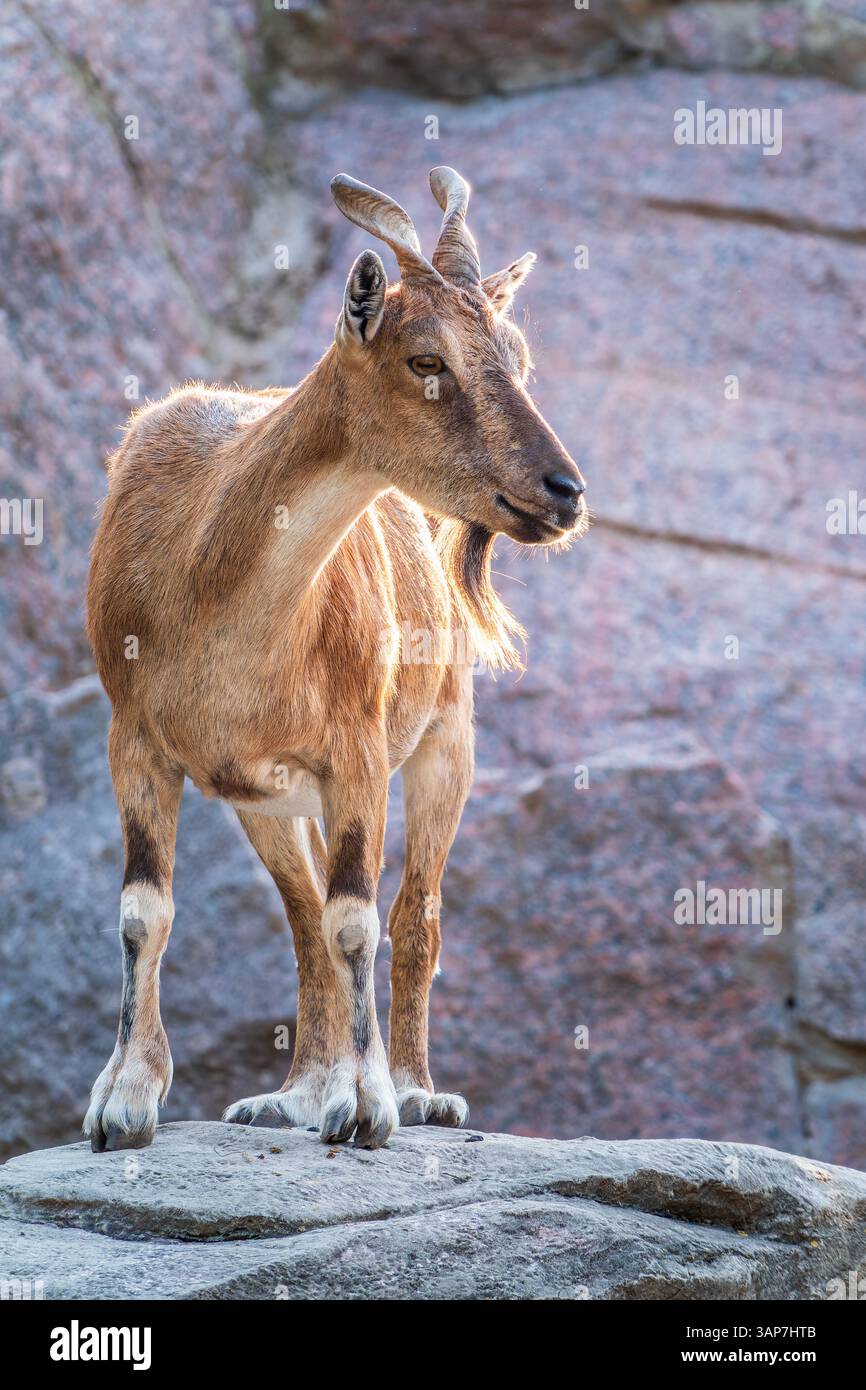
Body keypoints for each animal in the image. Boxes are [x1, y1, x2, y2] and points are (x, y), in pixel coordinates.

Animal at [83, 167, 587, 1152]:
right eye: (426, 360)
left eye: (516, 355)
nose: (564, 491)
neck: (214, 591)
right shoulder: (140, 742)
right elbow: (146, 912)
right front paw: (123, 1101)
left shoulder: (357, 750)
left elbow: (361, 919)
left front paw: (370, 1106)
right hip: (271, 799)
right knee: (303, 910)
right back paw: (293, 1094)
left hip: (444, 743)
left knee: (415, 912)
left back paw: (419, 1090)